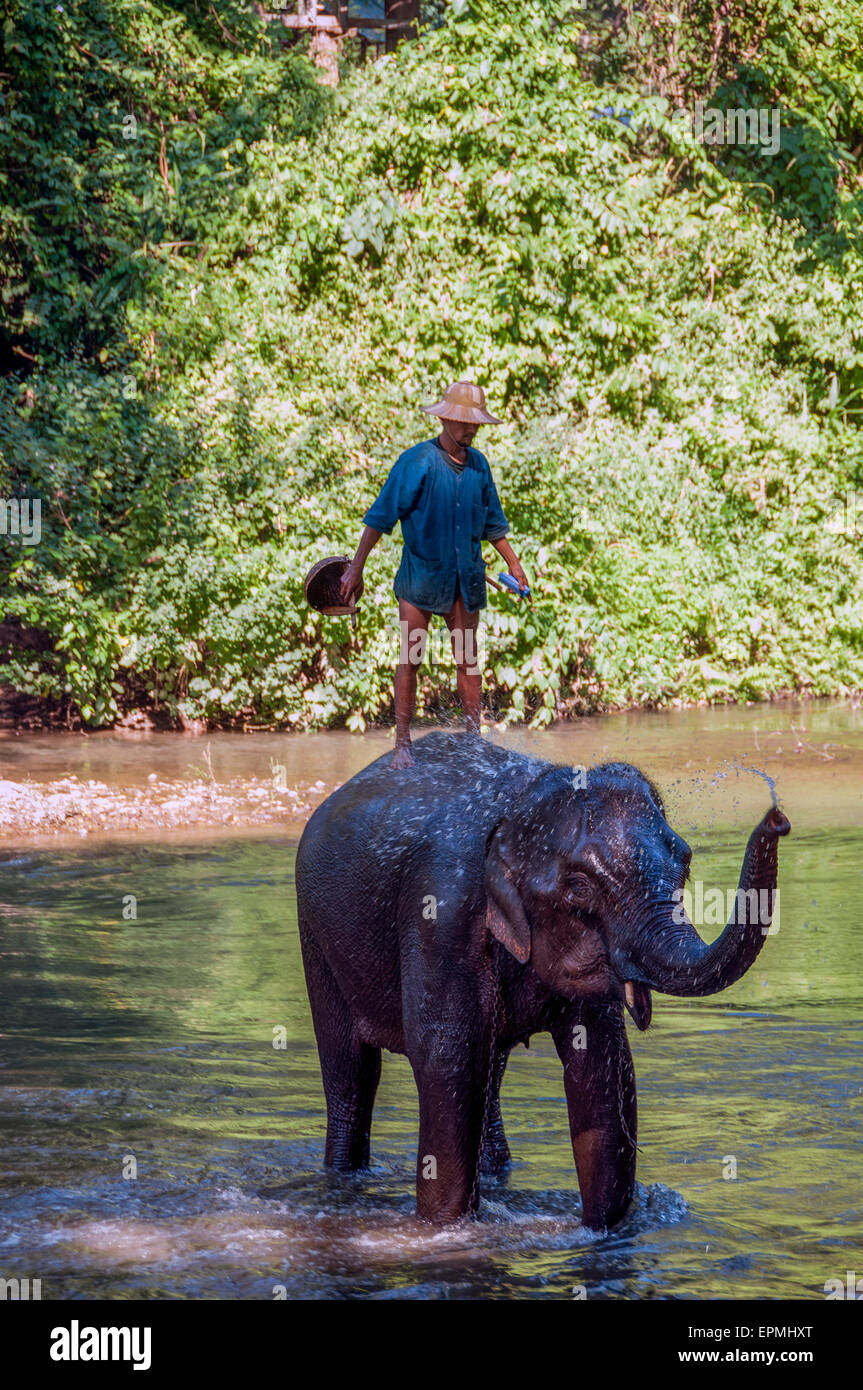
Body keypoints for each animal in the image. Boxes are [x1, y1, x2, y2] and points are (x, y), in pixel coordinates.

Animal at [295, 731, 789, 1230]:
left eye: (684, 864)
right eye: (579, 887)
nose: (777, 817)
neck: (517, 806)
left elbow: (602, 1070)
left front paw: (601, 1231)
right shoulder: (439, 915)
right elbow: (446, 1062)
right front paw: (444, 1231)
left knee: (489, 1076)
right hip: (315, 934)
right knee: (351, 1072)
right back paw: (343, 1173)